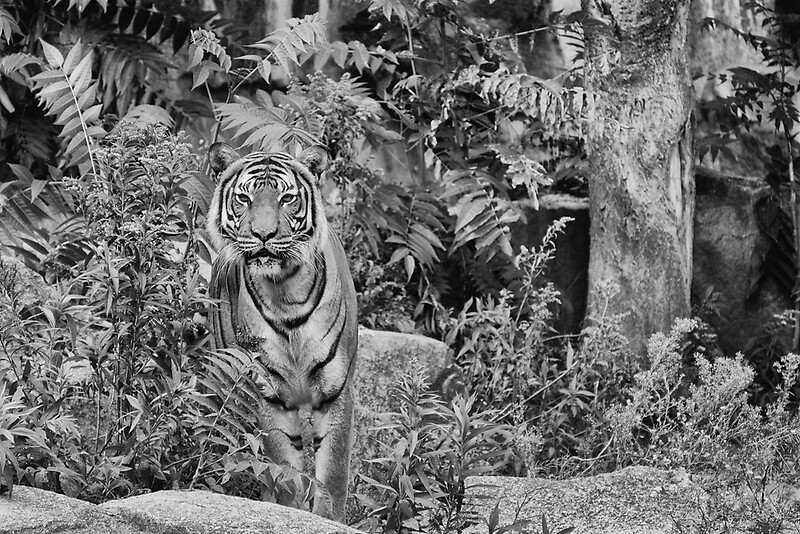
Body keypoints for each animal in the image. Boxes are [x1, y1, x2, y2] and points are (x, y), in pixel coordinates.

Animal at [205, 142, 358, 522]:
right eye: (244, 198)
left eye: (287, 198)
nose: (263, 236)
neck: (285, 290)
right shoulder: (267, 392)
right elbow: (285, 470)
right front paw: (290, 513)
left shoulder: (337, 390)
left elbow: (333, 471)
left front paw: (328, 519)